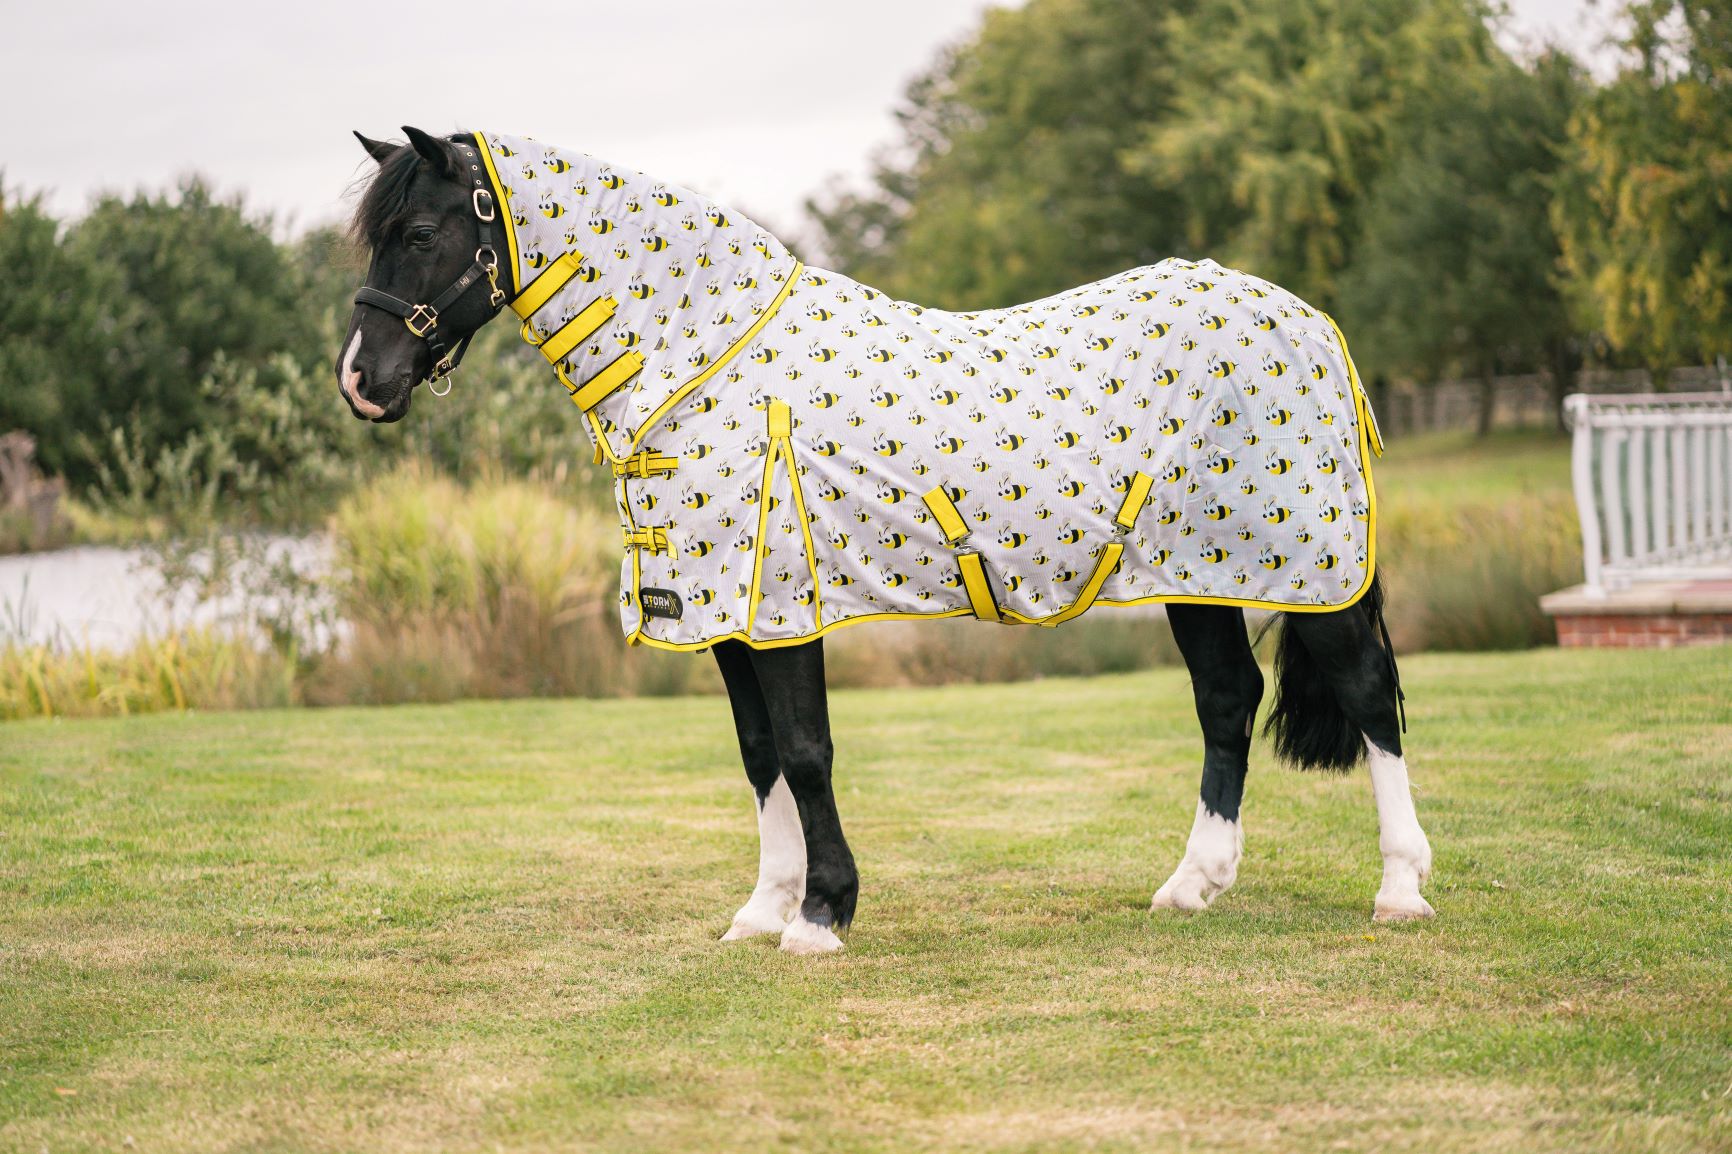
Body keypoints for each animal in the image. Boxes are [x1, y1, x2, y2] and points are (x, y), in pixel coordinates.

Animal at [336, 126, 1434, 955]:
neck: (713, 361)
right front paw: (763, 909)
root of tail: (1307, 319)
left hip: (1313, 568)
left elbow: (806, 751)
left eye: (422, 230)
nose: (362, 379)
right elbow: (758, 755)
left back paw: (1400, 889)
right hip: (1195, 574)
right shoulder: (727, 615)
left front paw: (822, 916)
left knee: (1367, 690)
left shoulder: (783, 607)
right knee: (1227, 698)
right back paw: (1191, 884)